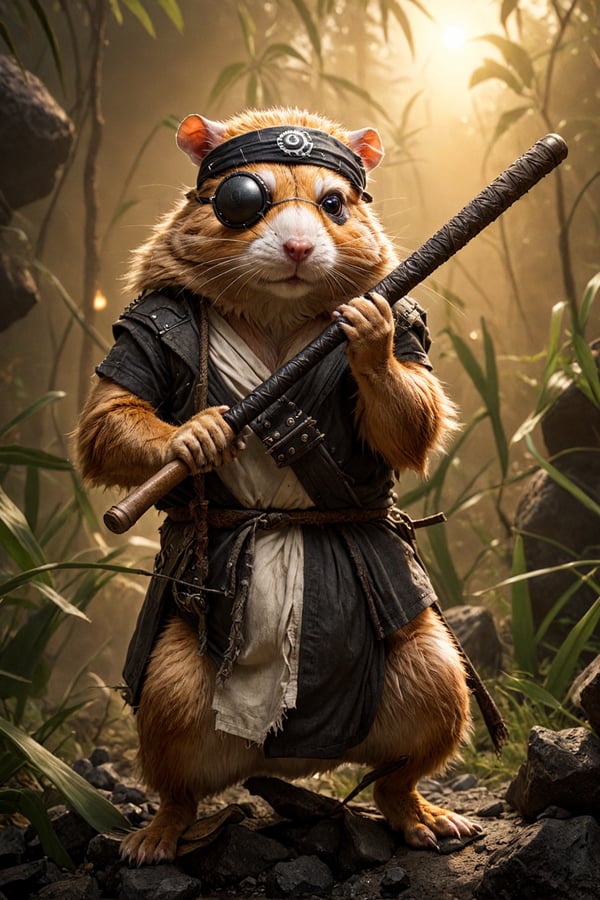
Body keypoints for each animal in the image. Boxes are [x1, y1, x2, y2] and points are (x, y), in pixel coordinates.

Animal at [75, 107, 479, 864]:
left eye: (336, 204)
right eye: (241, 200)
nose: (296, 246)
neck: (276, 312)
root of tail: (289, 762)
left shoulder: (411, 326)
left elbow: (414, 420)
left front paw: (368, 332)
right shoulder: (145, 327)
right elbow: (110, 417)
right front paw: (195, 436)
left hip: (427, 673)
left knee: (415, 742)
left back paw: (419, 816)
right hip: (175, 690)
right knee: (173, 757)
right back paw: (162, 831)